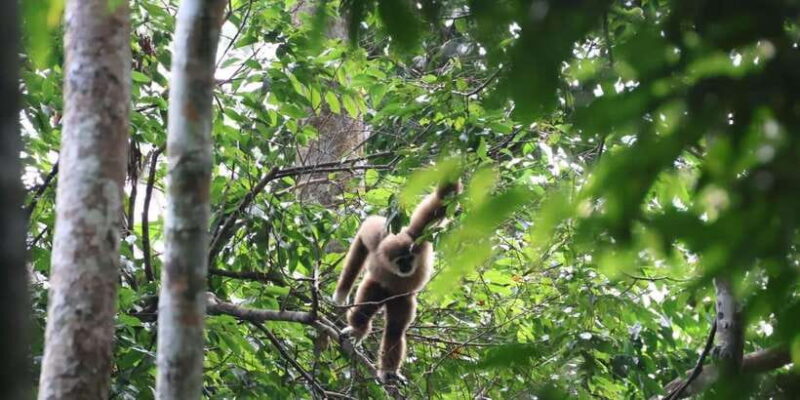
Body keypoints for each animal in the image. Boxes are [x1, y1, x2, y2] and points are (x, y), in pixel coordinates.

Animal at [333, 179, 461, 384]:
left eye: (409, 258)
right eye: (400, 261)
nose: (406, 266)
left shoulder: (417, 235)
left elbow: (442, 201)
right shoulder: (377, 241)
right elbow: (363, 235)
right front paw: (341, 293)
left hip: (401, 299)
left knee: (395, 329)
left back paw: (388, 370)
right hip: (376, 287)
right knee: (365, 310)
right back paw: (358, 329)